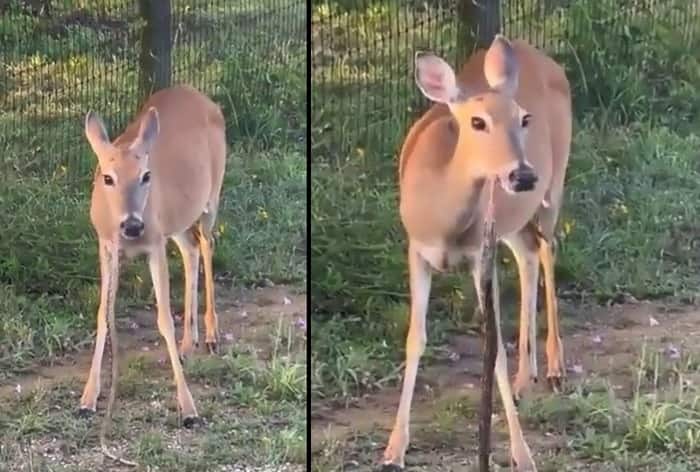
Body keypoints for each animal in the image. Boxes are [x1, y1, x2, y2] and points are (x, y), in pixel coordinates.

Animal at [79, 85, 227, 435]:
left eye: (146, 175)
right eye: (107, 177)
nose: (133, 225)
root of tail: (201, 96)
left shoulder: (155, 244)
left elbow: (163, 320)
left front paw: (189, 409)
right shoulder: (106, 245)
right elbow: (102, 314)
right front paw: (87, 399)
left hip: (211, 196)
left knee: (208, 243)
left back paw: (211, 335)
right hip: (177, 220)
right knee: (191, 249)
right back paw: (188, 344)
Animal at [381, 35, 571, 471]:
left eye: (524, 118)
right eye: (477, 122)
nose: (523, 174)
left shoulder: (479, 256)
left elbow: (493, 348)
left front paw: (522, 454)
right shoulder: (416, 249)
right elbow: (415, 338)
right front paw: (394, 447)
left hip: (554, 186)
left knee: (548, 248)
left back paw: (554, 367)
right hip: (511, 221)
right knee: (528, 254)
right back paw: (525, 378)